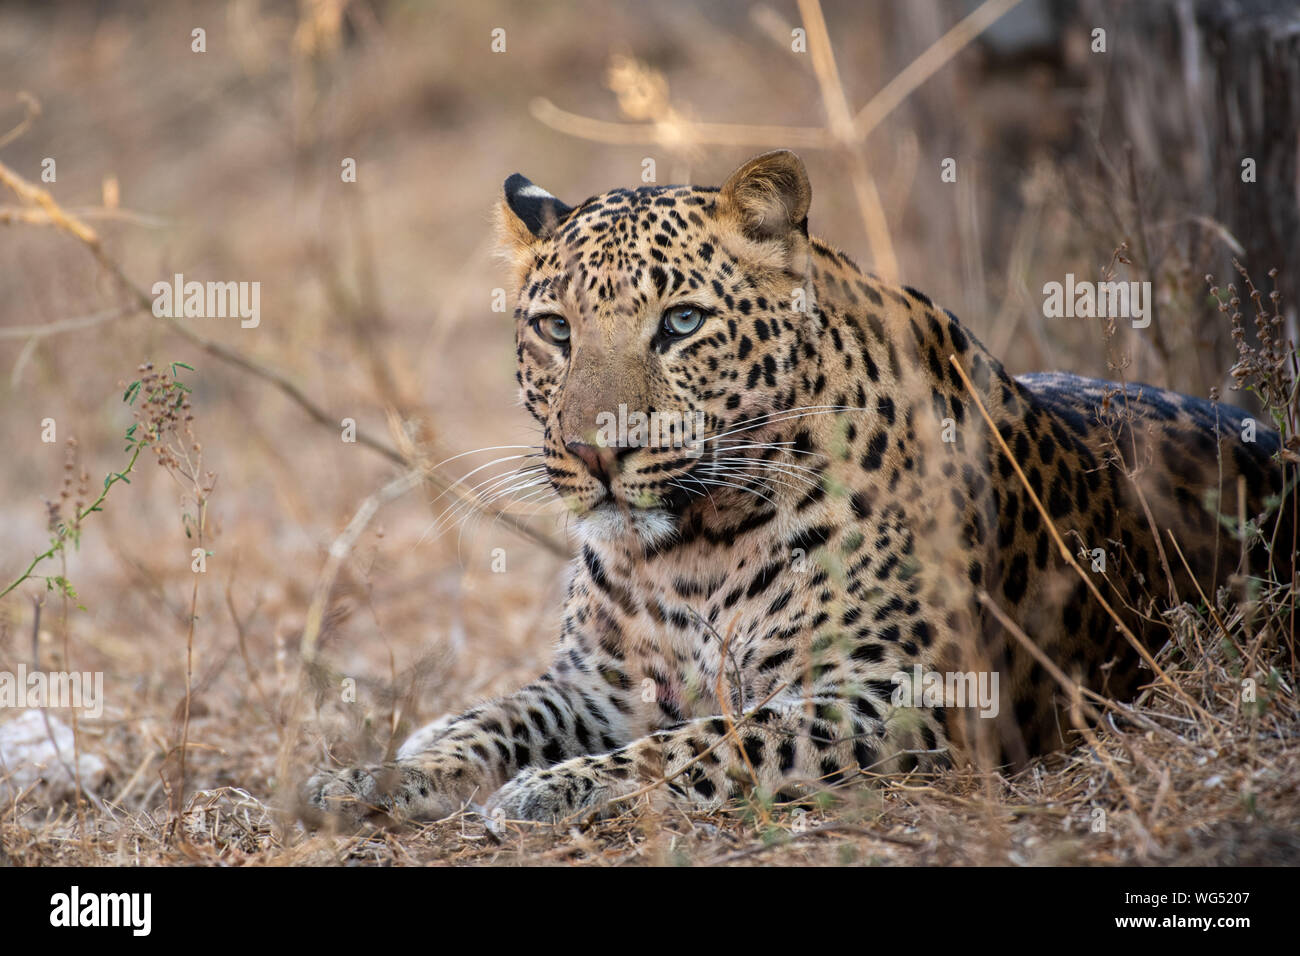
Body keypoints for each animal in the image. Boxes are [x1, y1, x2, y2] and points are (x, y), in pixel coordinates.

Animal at [305, 150, 1293, 825]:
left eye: (682, 323)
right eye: (555, 329)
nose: (595, 453)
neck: (690, 550)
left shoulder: (901, 697)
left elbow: (710, 738)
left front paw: (549, 791)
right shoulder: (600, 688)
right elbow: (494, 718)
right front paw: (371, 775)